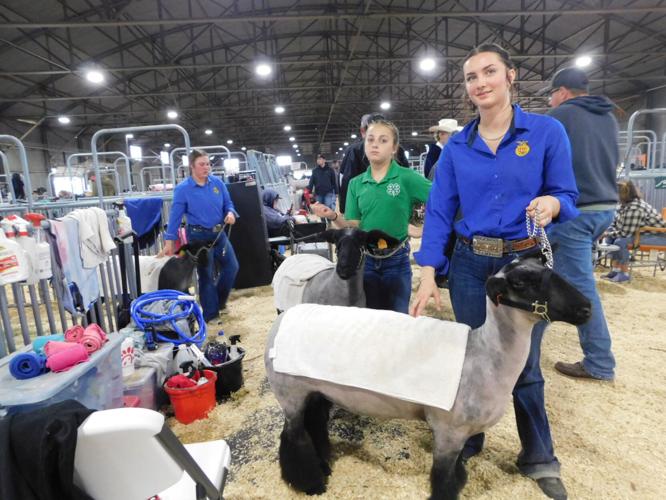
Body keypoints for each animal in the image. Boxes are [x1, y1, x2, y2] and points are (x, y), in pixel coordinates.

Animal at [264, 252, 592, 499]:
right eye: (523, 283)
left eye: (549, 271)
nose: (586, 308)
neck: (483, 356)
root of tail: (282, 318)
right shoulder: (448, 431)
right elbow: (443, 479)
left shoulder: (458, 436)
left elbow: (456, 472)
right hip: (290, 392)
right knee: (294, 436)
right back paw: (310, 483)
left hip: (315, 389)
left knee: (315, 425)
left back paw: (324, 465)